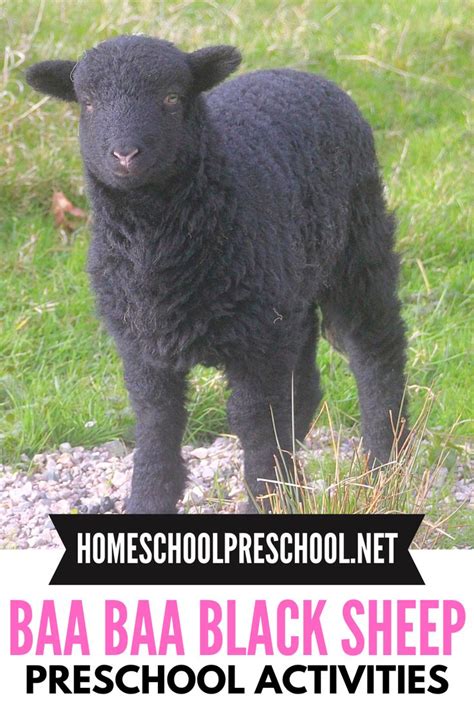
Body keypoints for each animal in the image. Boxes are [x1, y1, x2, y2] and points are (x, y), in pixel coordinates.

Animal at [26, 35, 409, 514]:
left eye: (172, 97)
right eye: (89, 103)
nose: (125, 155)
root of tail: (300, 74)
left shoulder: (257, 342)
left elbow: (256, 421)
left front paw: (266, 500)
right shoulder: (142, 343)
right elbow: (158, 421)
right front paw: (150, 500)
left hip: (357, 246)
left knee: (376, 348)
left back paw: (383, 464)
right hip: (289, 293)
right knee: (303, 386)